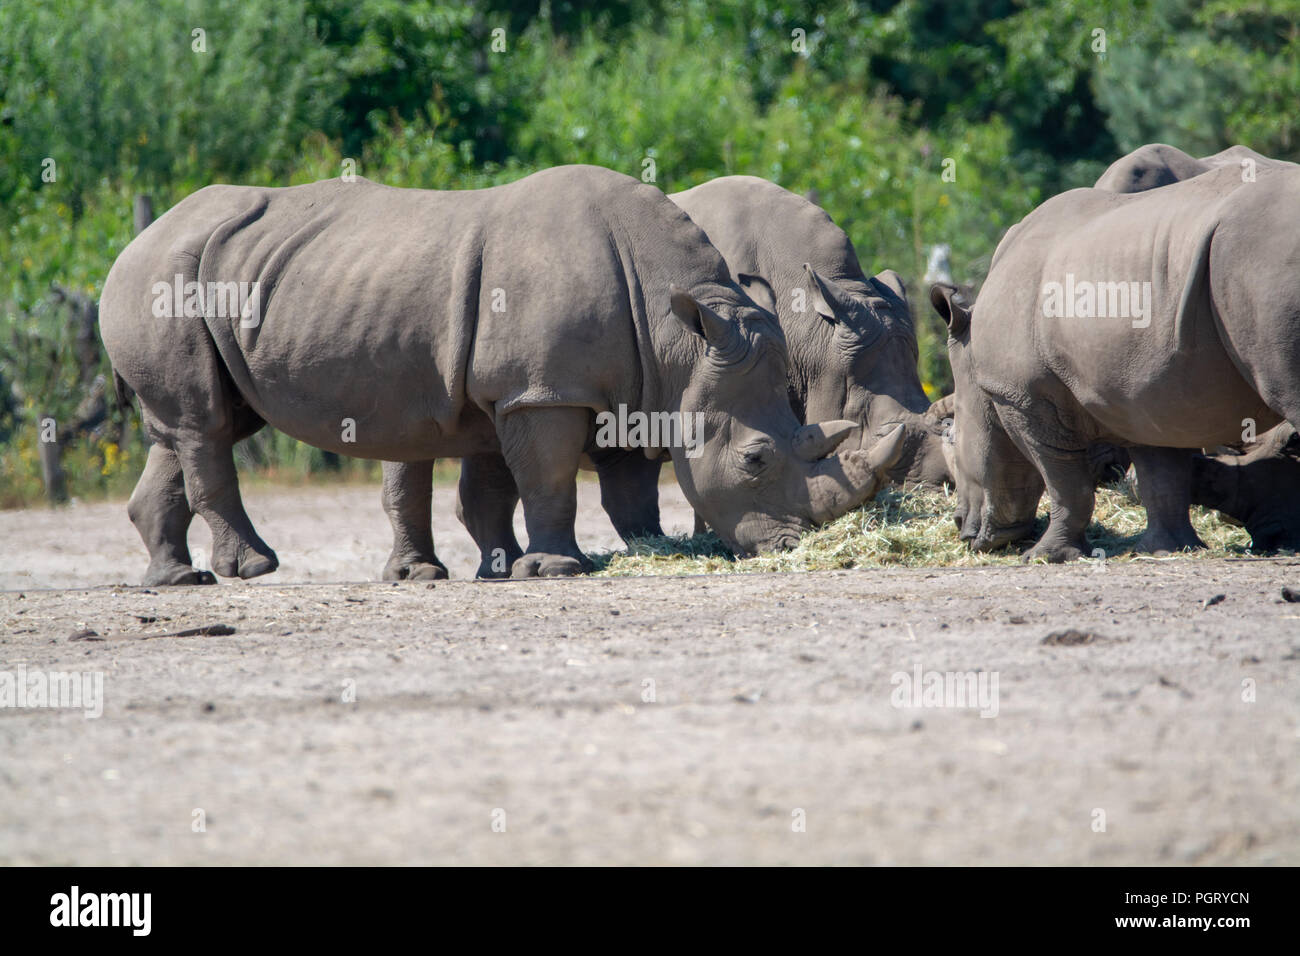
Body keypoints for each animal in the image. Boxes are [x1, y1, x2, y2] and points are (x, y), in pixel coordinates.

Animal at [931, 161, 1300, 561]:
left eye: (954, 435)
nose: (959, 526)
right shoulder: (1147, 391)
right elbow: (1161, 476)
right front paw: (1166, 549)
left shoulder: (1021, 396)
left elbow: (1063, 481)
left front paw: (1046, 555)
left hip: (1258, 261)